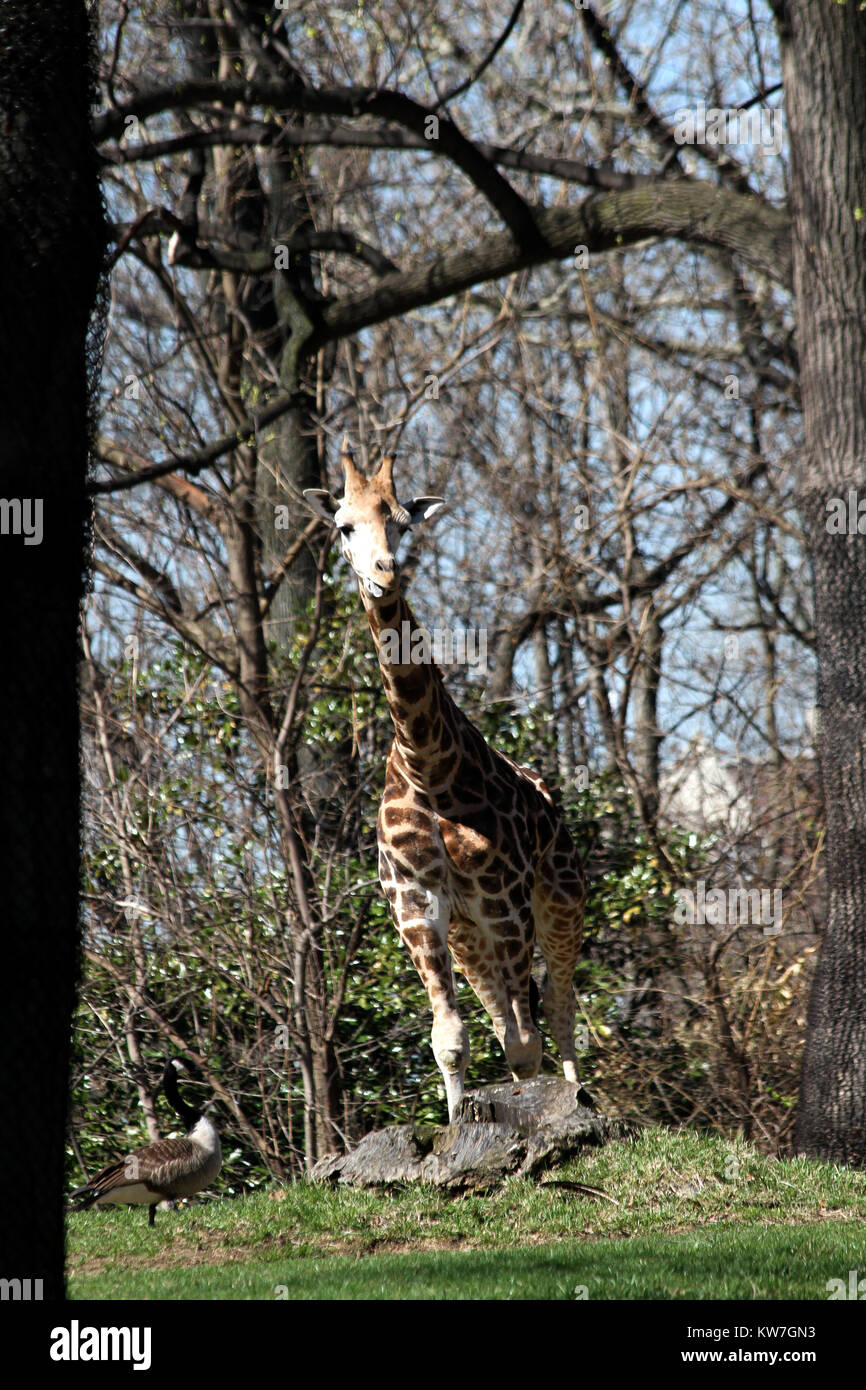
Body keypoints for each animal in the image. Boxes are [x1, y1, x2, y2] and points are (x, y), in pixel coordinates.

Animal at [304, 442, 585, 1119]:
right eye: (344, 526)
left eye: (404, 524)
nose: (384, 574)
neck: (429, 765)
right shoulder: (418, 906)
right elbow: (451, 1039)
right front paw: (459, 1125)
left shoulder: (503, 901)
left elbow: (524, 1042)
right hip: (468, 937)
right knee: (507, 1016)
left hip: (558, 902)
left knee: (559, 1006)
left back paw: (576, 1096)